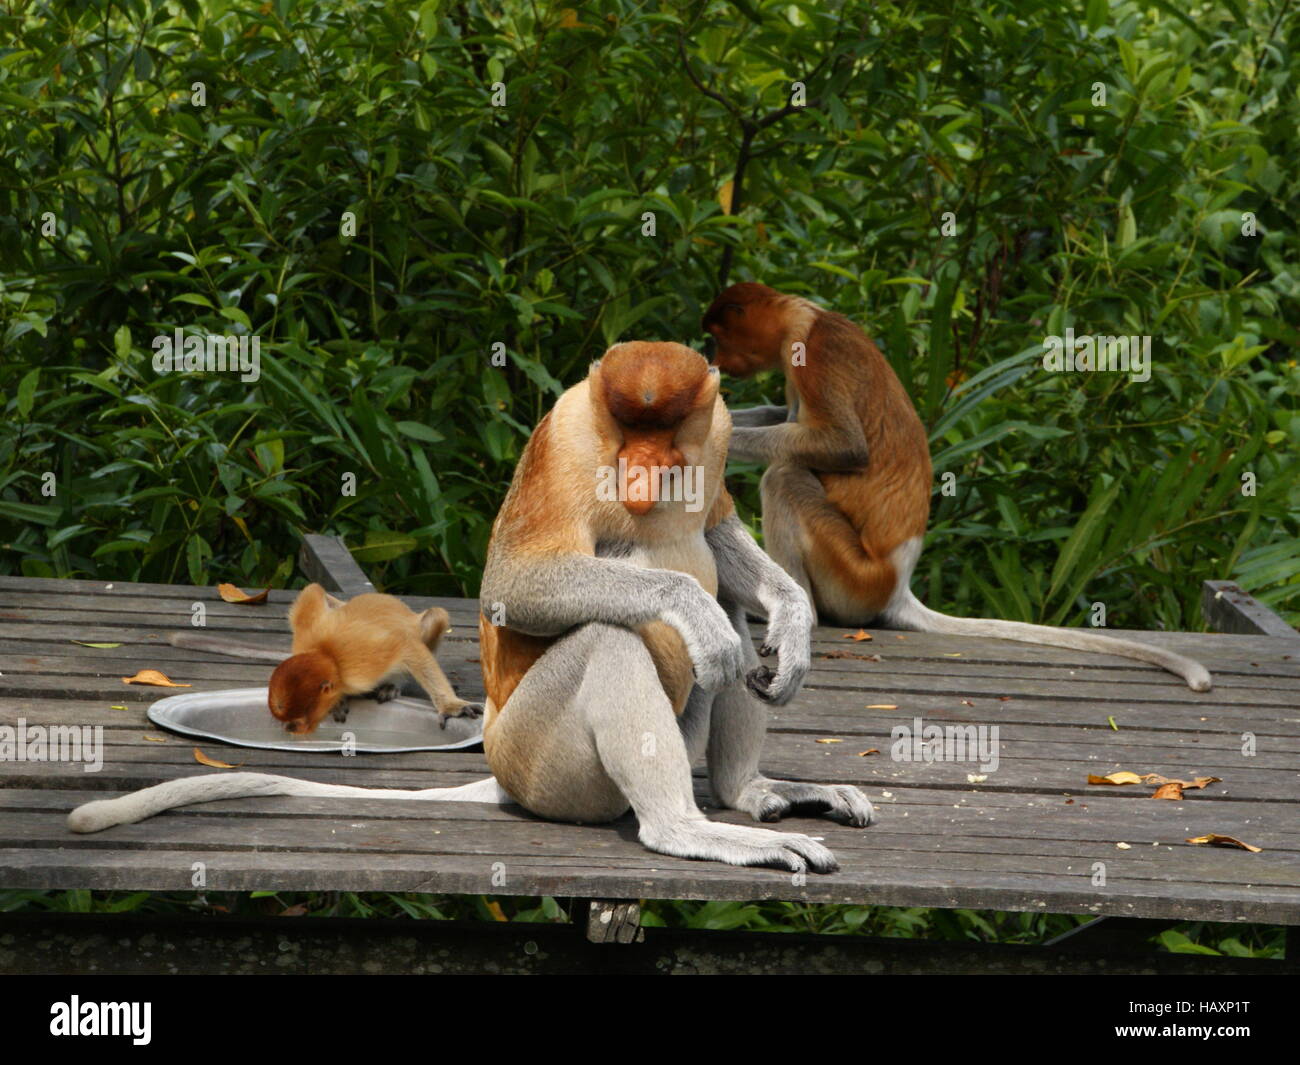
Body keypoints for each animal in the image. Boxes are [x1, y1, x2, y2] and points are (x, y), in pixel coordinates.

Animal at [68, 342, 873, 874]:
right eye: (629, 430)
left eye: (663, 430)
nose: (642, 471)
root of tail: (502, 771)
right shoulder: (569, 443)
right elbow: (516, 584)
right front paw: (692, 609)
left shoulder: (720, 430)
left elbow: (715, 535)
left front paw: (793, 623)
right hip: (540, 758)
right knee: (613, 639)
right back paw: (685, 826)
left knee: (732, 612)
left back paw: (749, 792)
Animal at [701, 282, 1213, 692]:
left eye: (719, 335)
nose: (715, 357)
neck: (804, 316)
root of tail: (898, 585)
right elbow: (781, 417)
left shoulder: (815, 353)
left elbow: (843, 446)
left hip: (853, 577)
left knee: (784, 478)